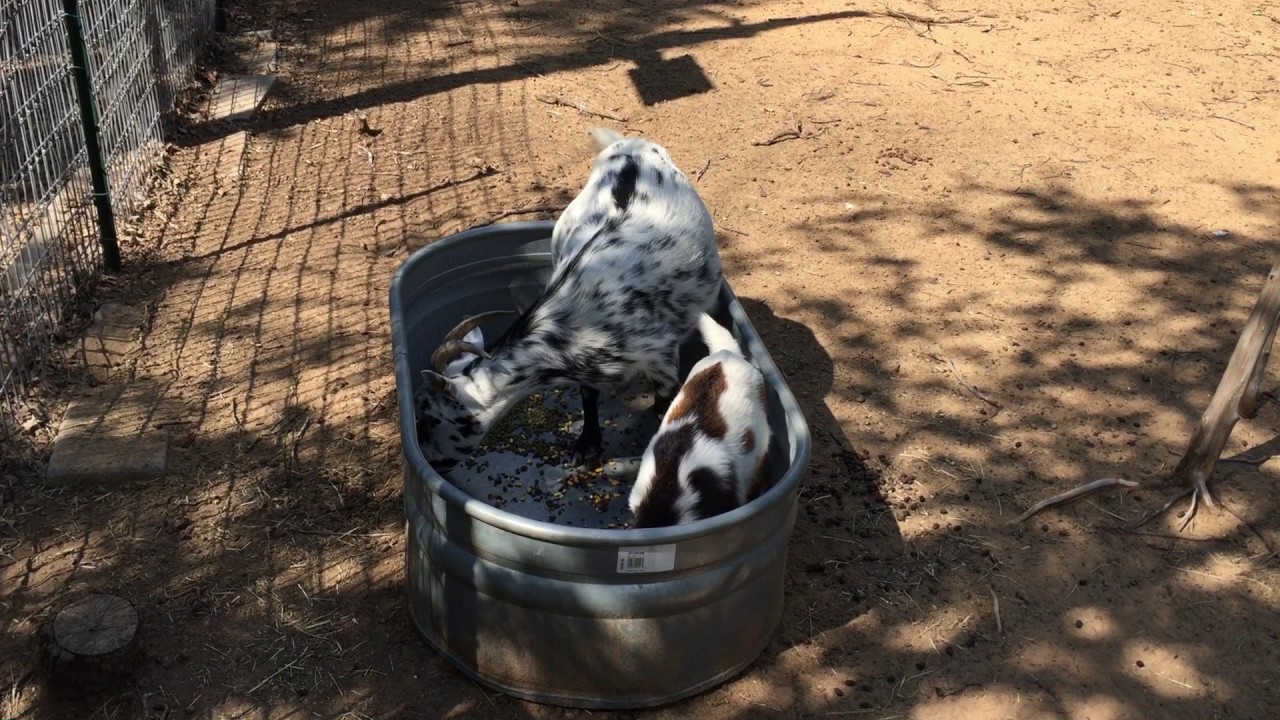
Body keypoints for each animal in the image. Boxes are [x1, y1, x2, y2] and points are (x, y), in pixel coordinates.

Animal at [414, 128, 722, 475]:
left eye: (429, 419)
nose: (432, 462)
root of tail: (631, 146)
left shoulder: (662, 358)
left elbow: (663, 407)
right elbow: (588, 392)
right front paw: (587, 446)